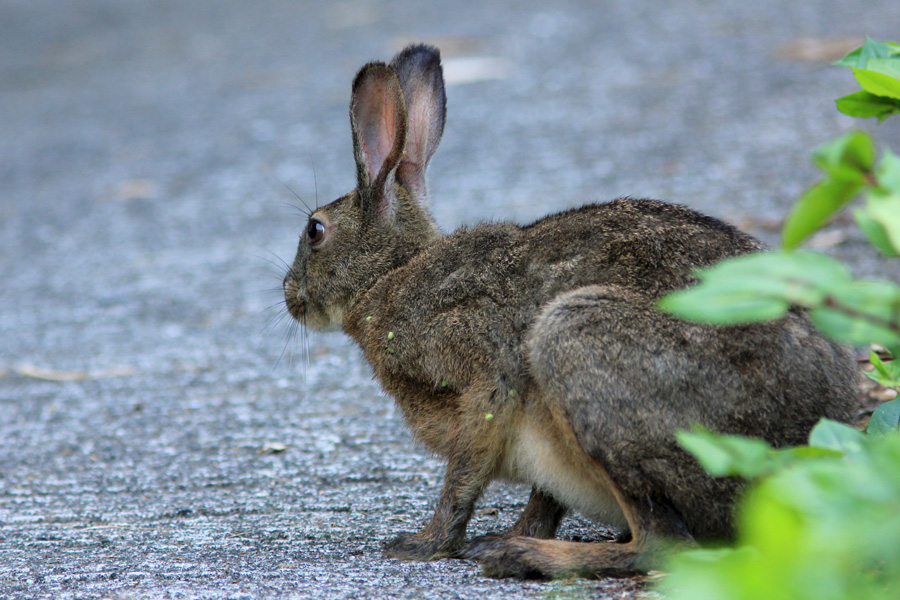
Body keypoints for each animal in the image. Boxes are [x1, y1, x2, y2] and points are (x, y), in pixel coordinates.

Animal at [282, 44, 859, 579]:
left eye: (314, 230)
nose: (289, 295)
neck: (392, 275)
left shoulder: (484, 370)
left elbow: (465, 472)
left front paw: (427, 544)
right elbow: (545, 498)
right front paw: (506, 531)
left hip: (578, 345)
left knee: (663, 546)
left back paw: (520, 556)